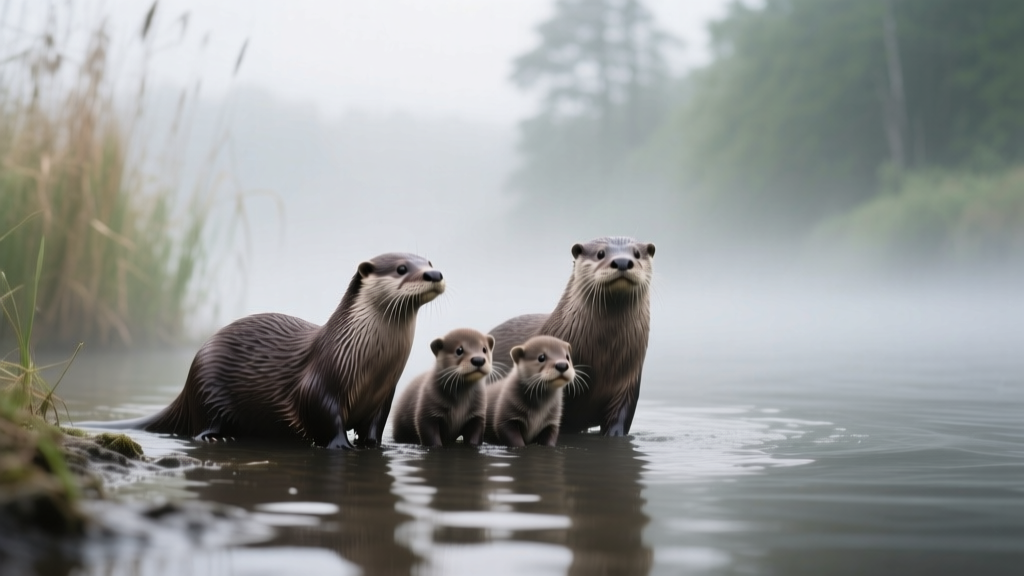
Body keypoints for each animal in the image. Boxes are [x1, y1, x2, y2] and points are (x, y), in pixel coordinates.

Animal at [79, 253, 444, 449]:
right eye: (401, 268)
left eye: (428, 260)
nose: (435, 273)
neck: (367, 363)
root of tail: (186, 387)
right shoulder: (320, 384)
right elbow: (324, 419)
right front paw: (342, 445)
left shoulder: (384, 395)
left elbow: (374, 426)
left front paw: (370, 445)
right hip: (208, 386)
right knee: (202, 425)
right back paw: (216, 438)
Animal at [488, 236, 654, 436]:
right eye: (600, 253)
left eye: (637, 253)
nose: (622, 261)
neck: (602, 359)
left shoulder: (627, 386)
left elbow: (619, 421)